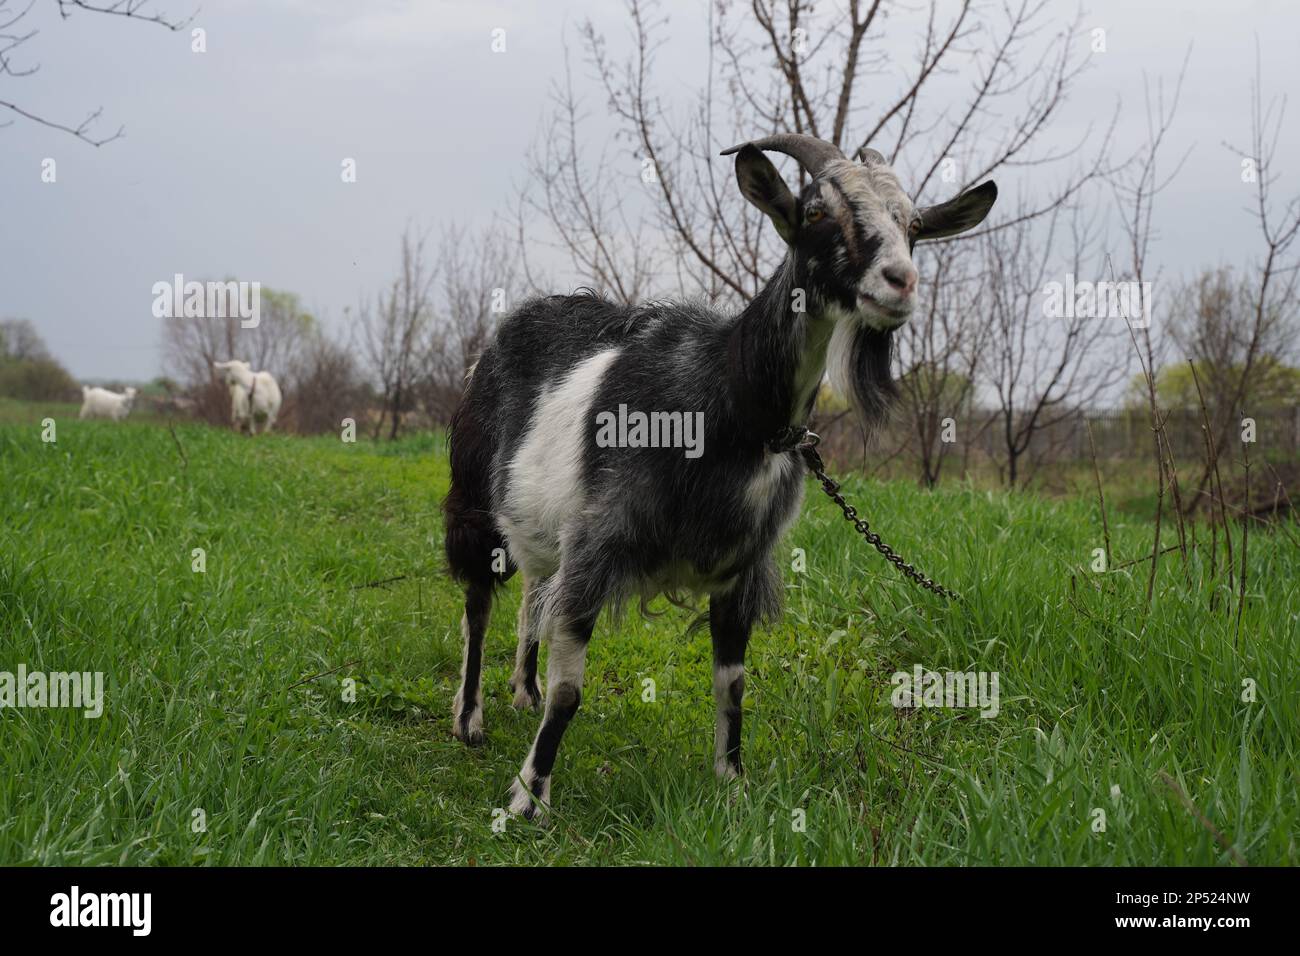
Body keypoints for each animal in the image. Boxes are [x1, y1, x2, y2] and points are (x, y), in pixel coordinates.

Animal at [443, 133, 997, 821]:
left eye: (914, 225)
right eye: (816, 211)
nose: (900, 281)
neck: (725, 400)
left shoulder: (739, 569)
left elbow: (732, 684)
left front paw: (732, 786)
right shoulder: (599, 543)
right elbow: (570, 689)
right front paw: (528, 799)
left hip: (540, 519)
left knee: (531, 592)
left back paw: (523, 690)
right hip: (473, 499)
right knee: (478, 605)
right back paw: (470, 720)